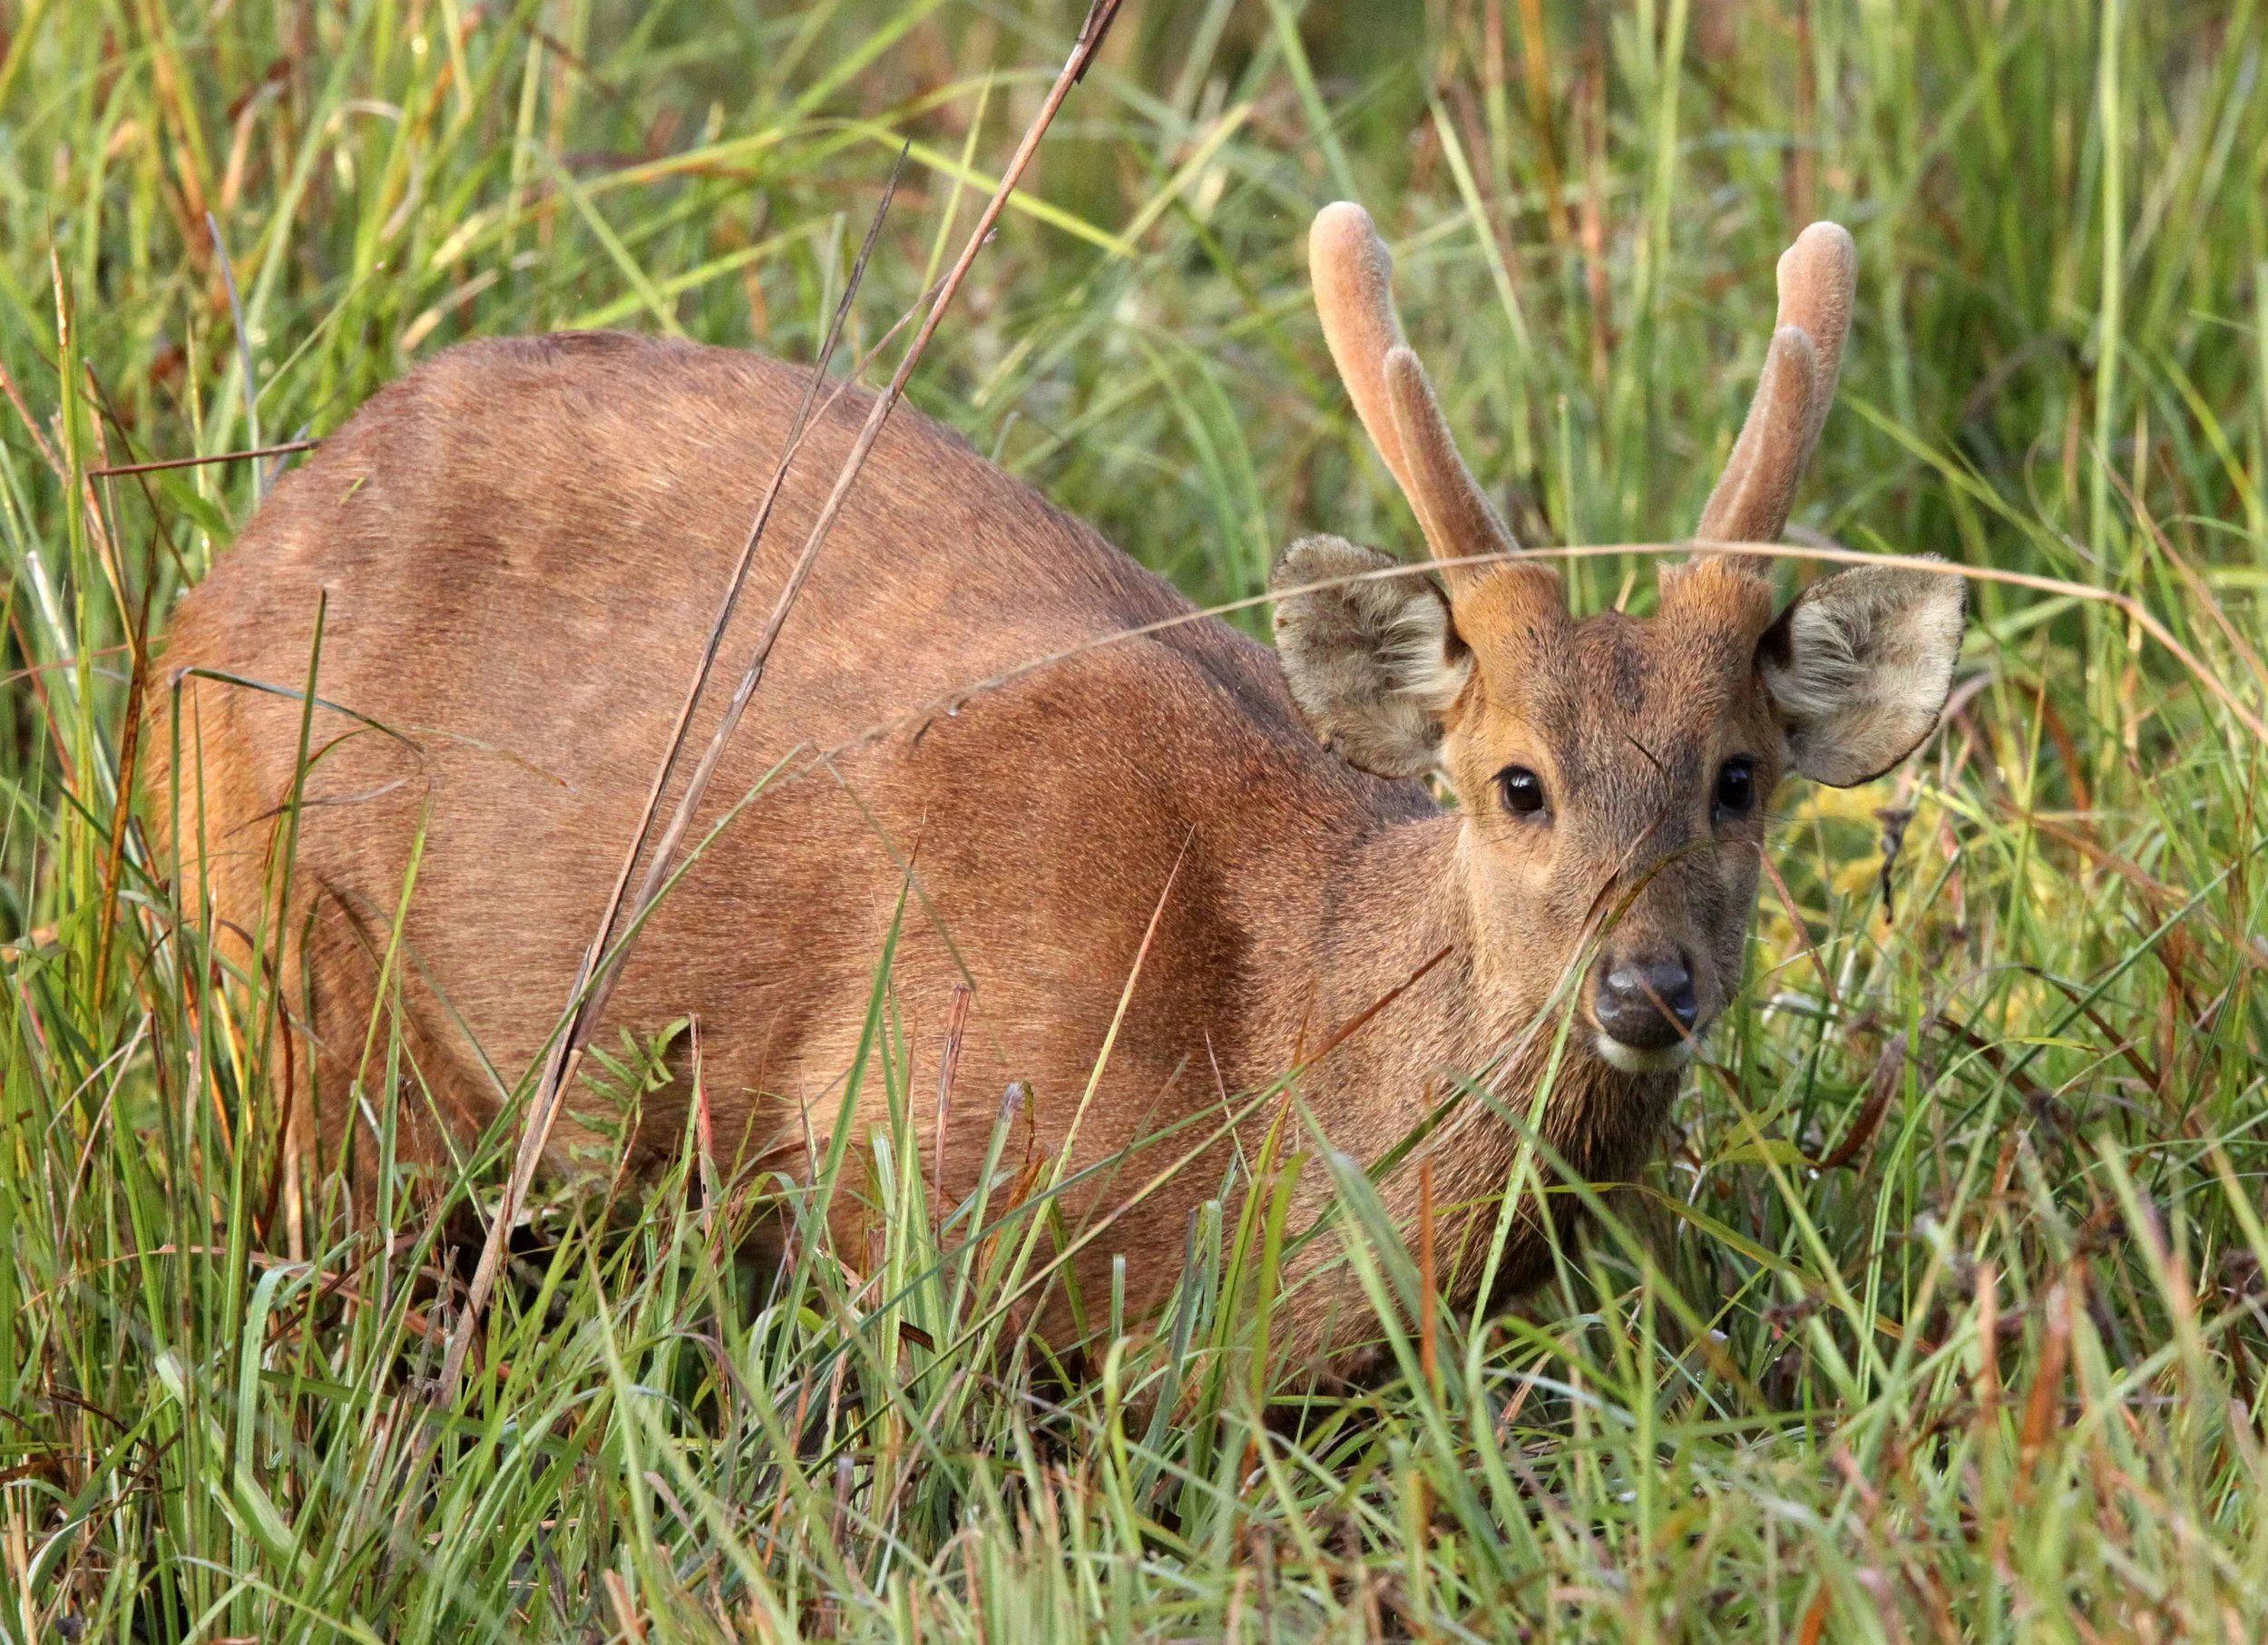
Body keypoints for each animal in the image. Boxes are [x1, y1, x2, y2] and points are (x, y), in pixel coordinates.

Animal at [151, 201, 1963, 1374]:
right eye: (1515, 781)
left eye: (1740, 778)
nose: (1647, 983)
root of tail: (234, 557)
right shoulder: (892, 1158)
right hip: (281, 965)